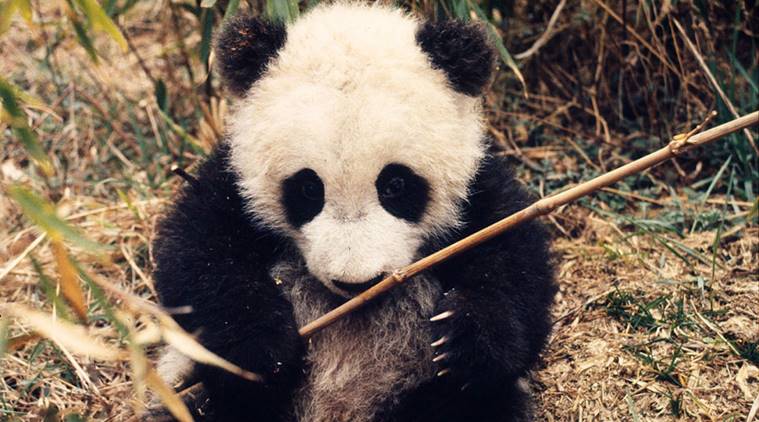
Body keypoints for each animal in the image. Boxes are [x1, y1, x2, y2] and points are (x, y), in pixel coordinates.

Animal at [152, 3, 557, 421]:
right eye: (308, 188)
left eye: (395, 185)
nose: (356, 282)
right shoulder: (232, 184)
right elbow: (195, 259)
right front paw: (260, 350)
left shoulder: (477, 189)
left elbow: (515, 268)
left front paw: (463, 337)